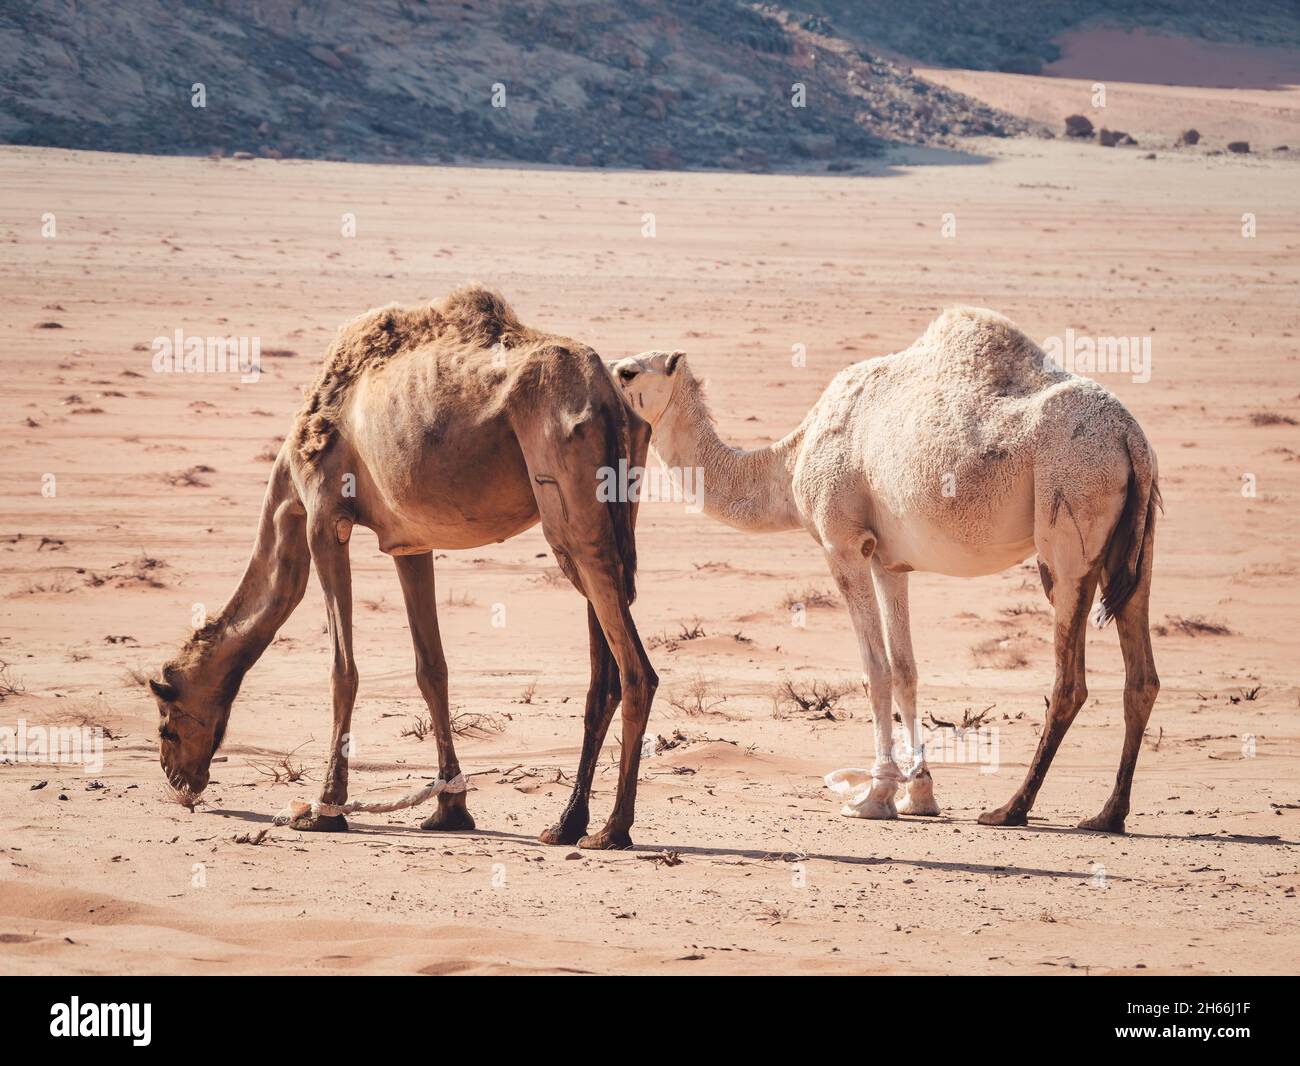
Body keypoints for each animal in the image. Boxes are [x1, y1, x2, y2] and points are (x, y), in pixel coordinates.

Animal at [150, 286, 658, 850]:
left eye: (166, 720)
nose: (179, 782)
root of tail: (609, 400)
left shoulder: (324, 517)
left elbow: (342, 669)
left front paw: (324, 810)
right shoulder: (409, 544)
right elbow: (430, 668)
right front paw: (450, 809)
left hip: (570, 505)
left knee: (636, 669)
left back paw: (613, 829)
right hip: (616, 509)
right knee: (604, 666)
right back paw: (568, 822)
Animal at [610, 307, 1160, 833]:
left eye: (627, 371)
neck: (790, 463)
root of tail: (1129, 436)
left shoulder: (844, 543)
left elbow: (875, 670)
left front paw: (874, 797)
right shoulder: (888, 560)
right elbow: (905, 670)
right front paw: (919, 794)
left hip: (1069, 521)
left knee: (1069, 681)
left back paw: (1012, 809)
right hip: (1137, 541)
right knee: (1141, 677)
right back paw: (1108, 814)